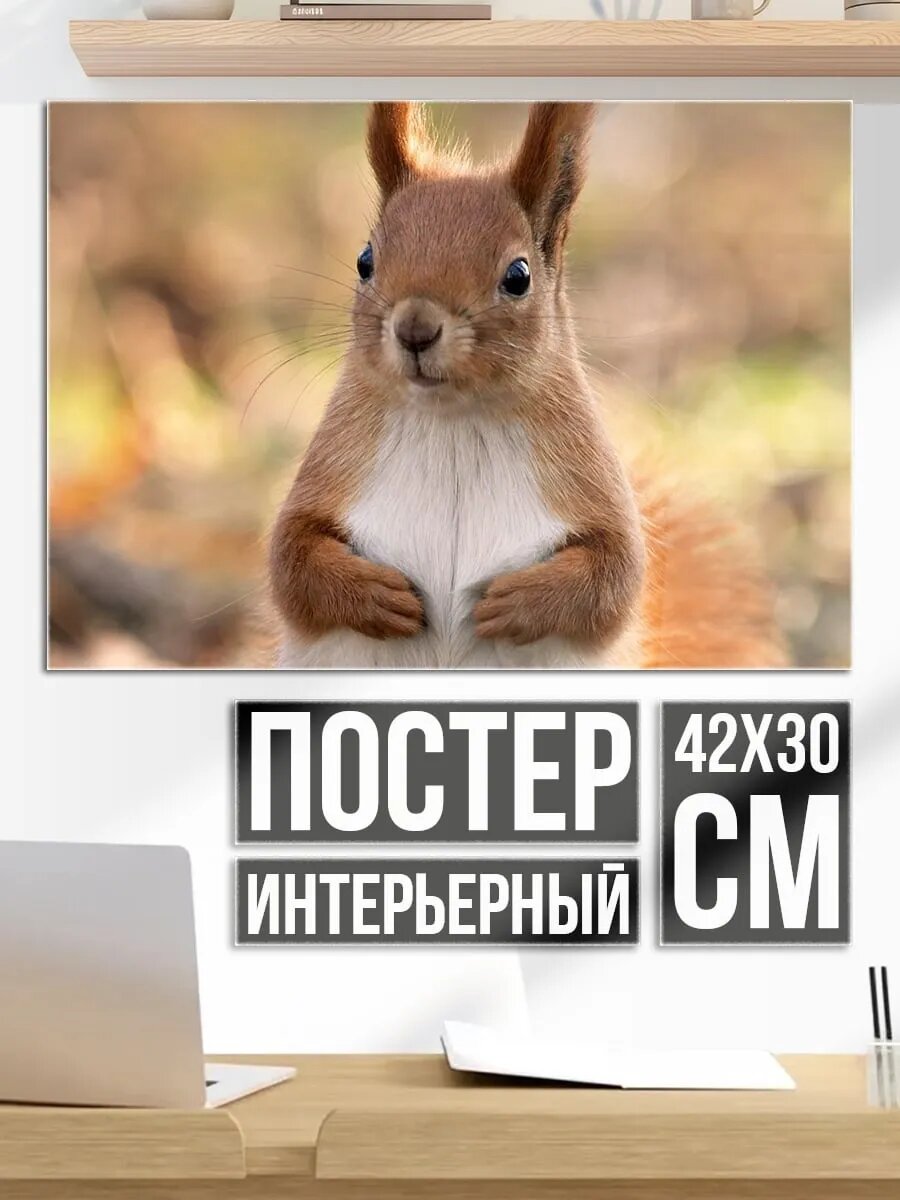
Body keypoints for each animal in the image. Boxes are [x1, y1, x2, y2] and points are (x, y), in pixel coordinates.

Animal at [268, 102, 784, 670]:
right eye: (365, 261)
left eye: (518, 276)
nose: (415, 329)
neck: (454, 422)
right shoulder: (336, 462)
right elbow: (291, 558)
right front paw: (378, 596)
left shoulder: (589, 477)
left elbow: (617, 572)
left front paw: (513, 604)